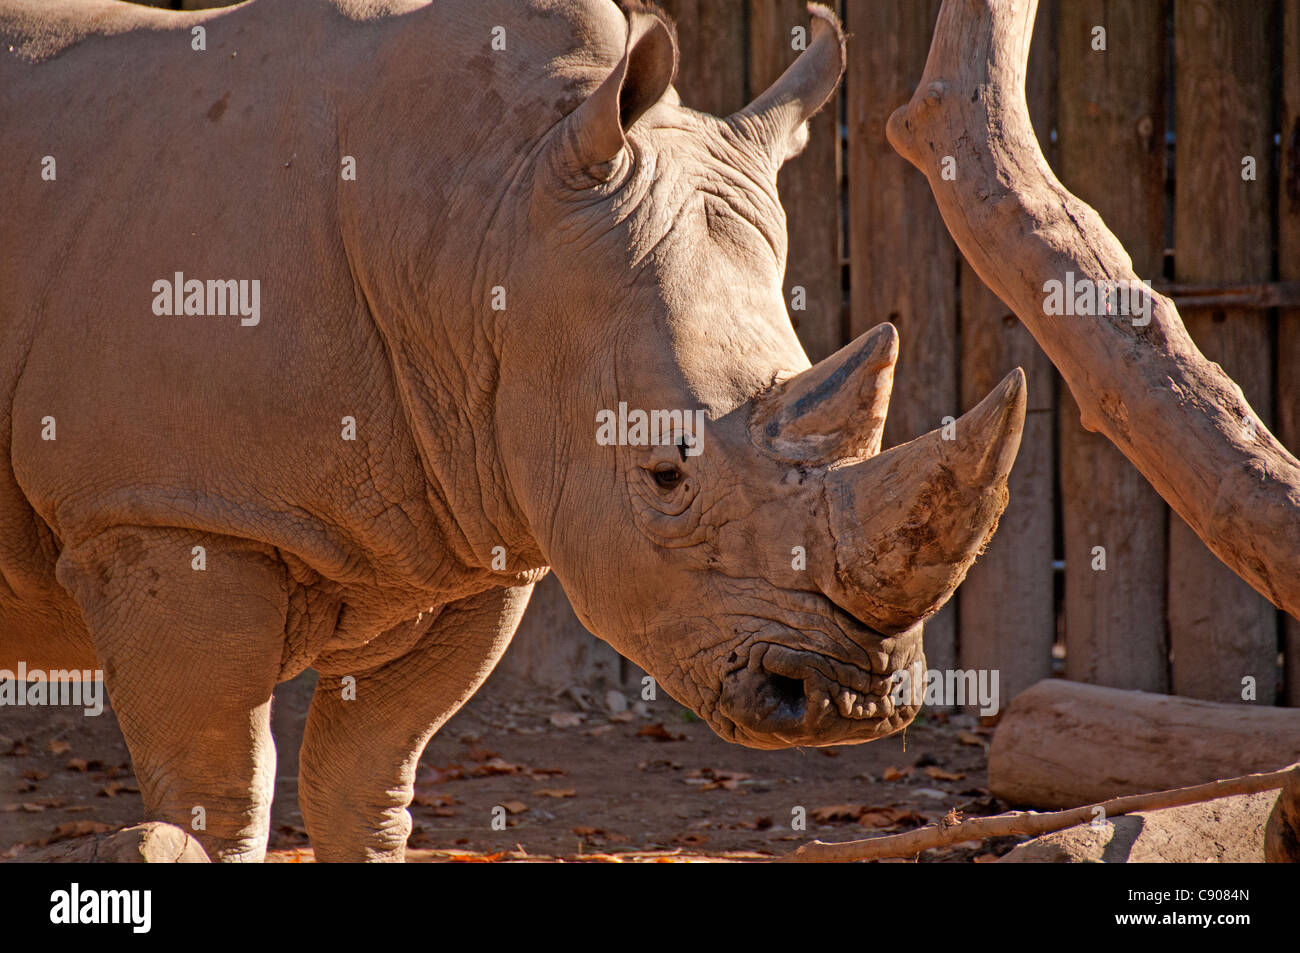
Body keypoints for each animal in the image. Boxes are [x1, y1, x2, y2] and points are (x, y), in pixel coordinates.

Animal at [0, 0, 1025, 861]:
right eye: (664, 475)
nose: (849, 698)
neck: (487, 216)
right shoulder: (162, 512)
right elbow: (221, 797)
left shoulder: (462, 523)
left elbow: (367, 779)